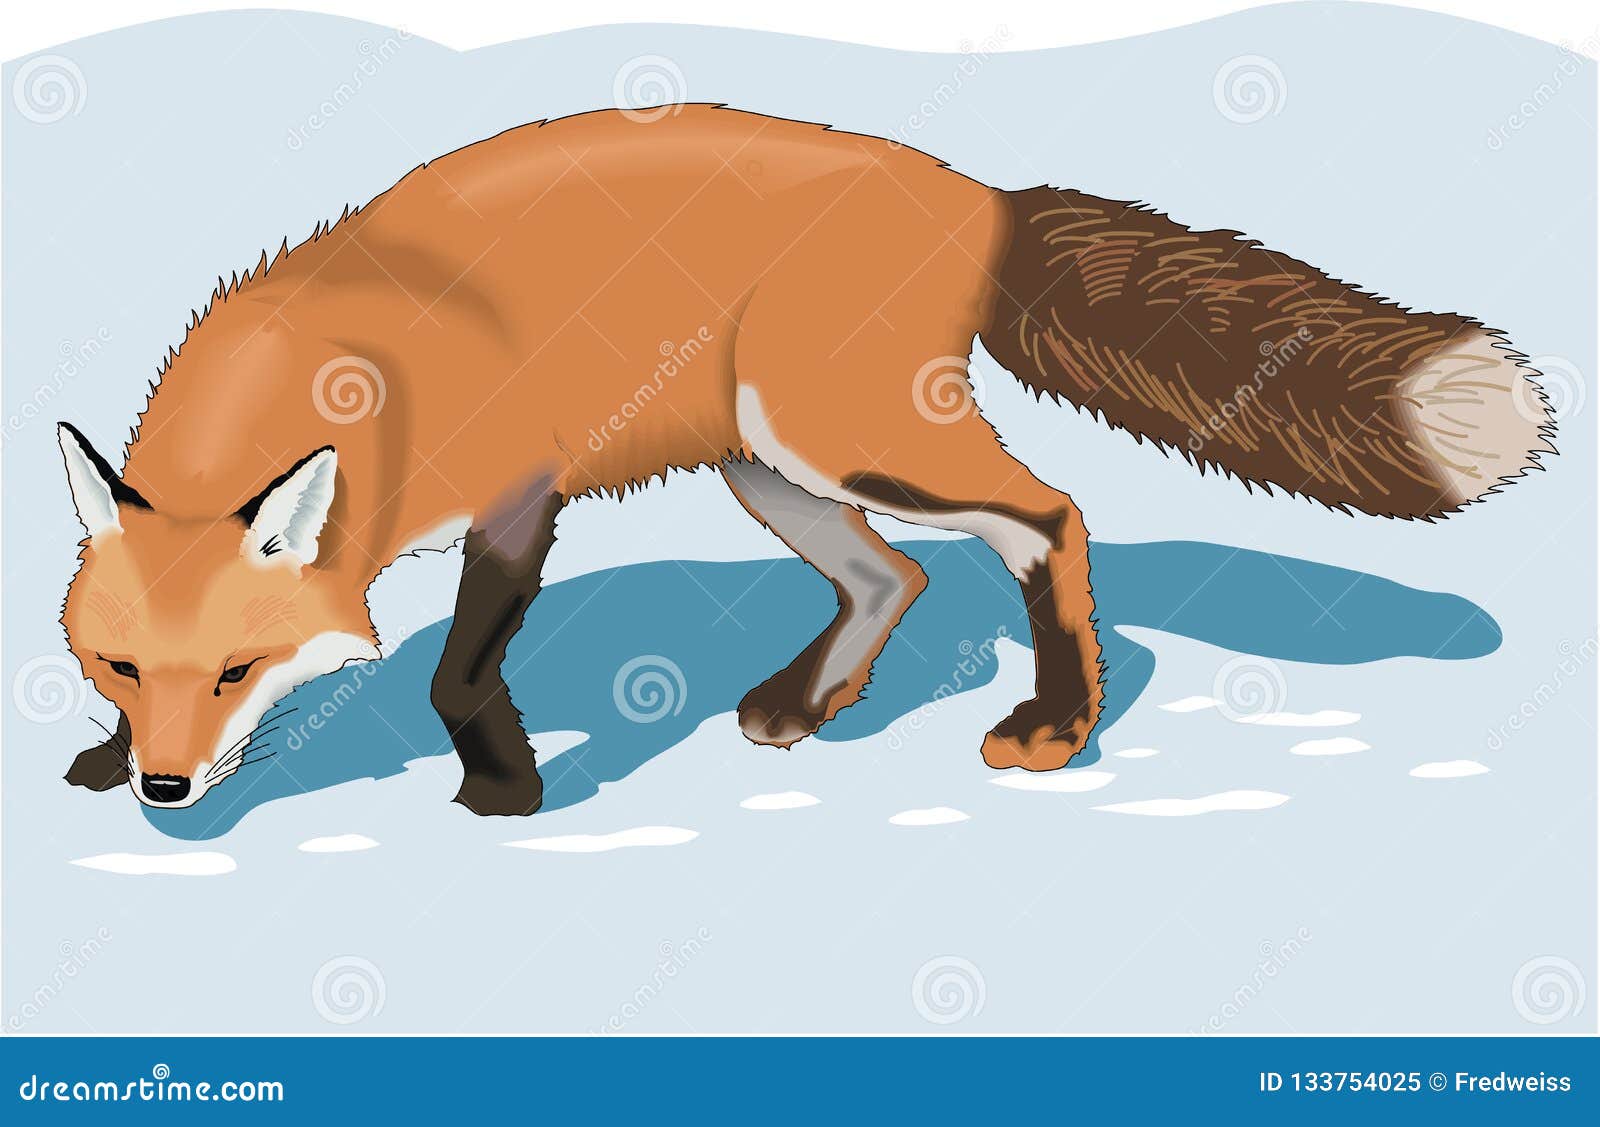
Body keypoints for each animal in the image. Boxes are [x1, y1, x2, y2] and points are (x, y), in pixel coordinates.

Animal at [56, 105, 1552, 815]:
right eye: (120, 662)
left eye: (239, 672)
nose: (167, 792)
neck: (368, 384)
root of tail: (979, 195)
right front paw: (101, 758)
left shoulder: (517, 498)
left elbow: (457, 667)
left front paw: (503, 786)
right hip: (771, 465)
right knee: (896, 578)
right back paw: (808, 702)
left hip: (848, 437)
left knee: (1052, 517)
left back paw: (1058, 724)